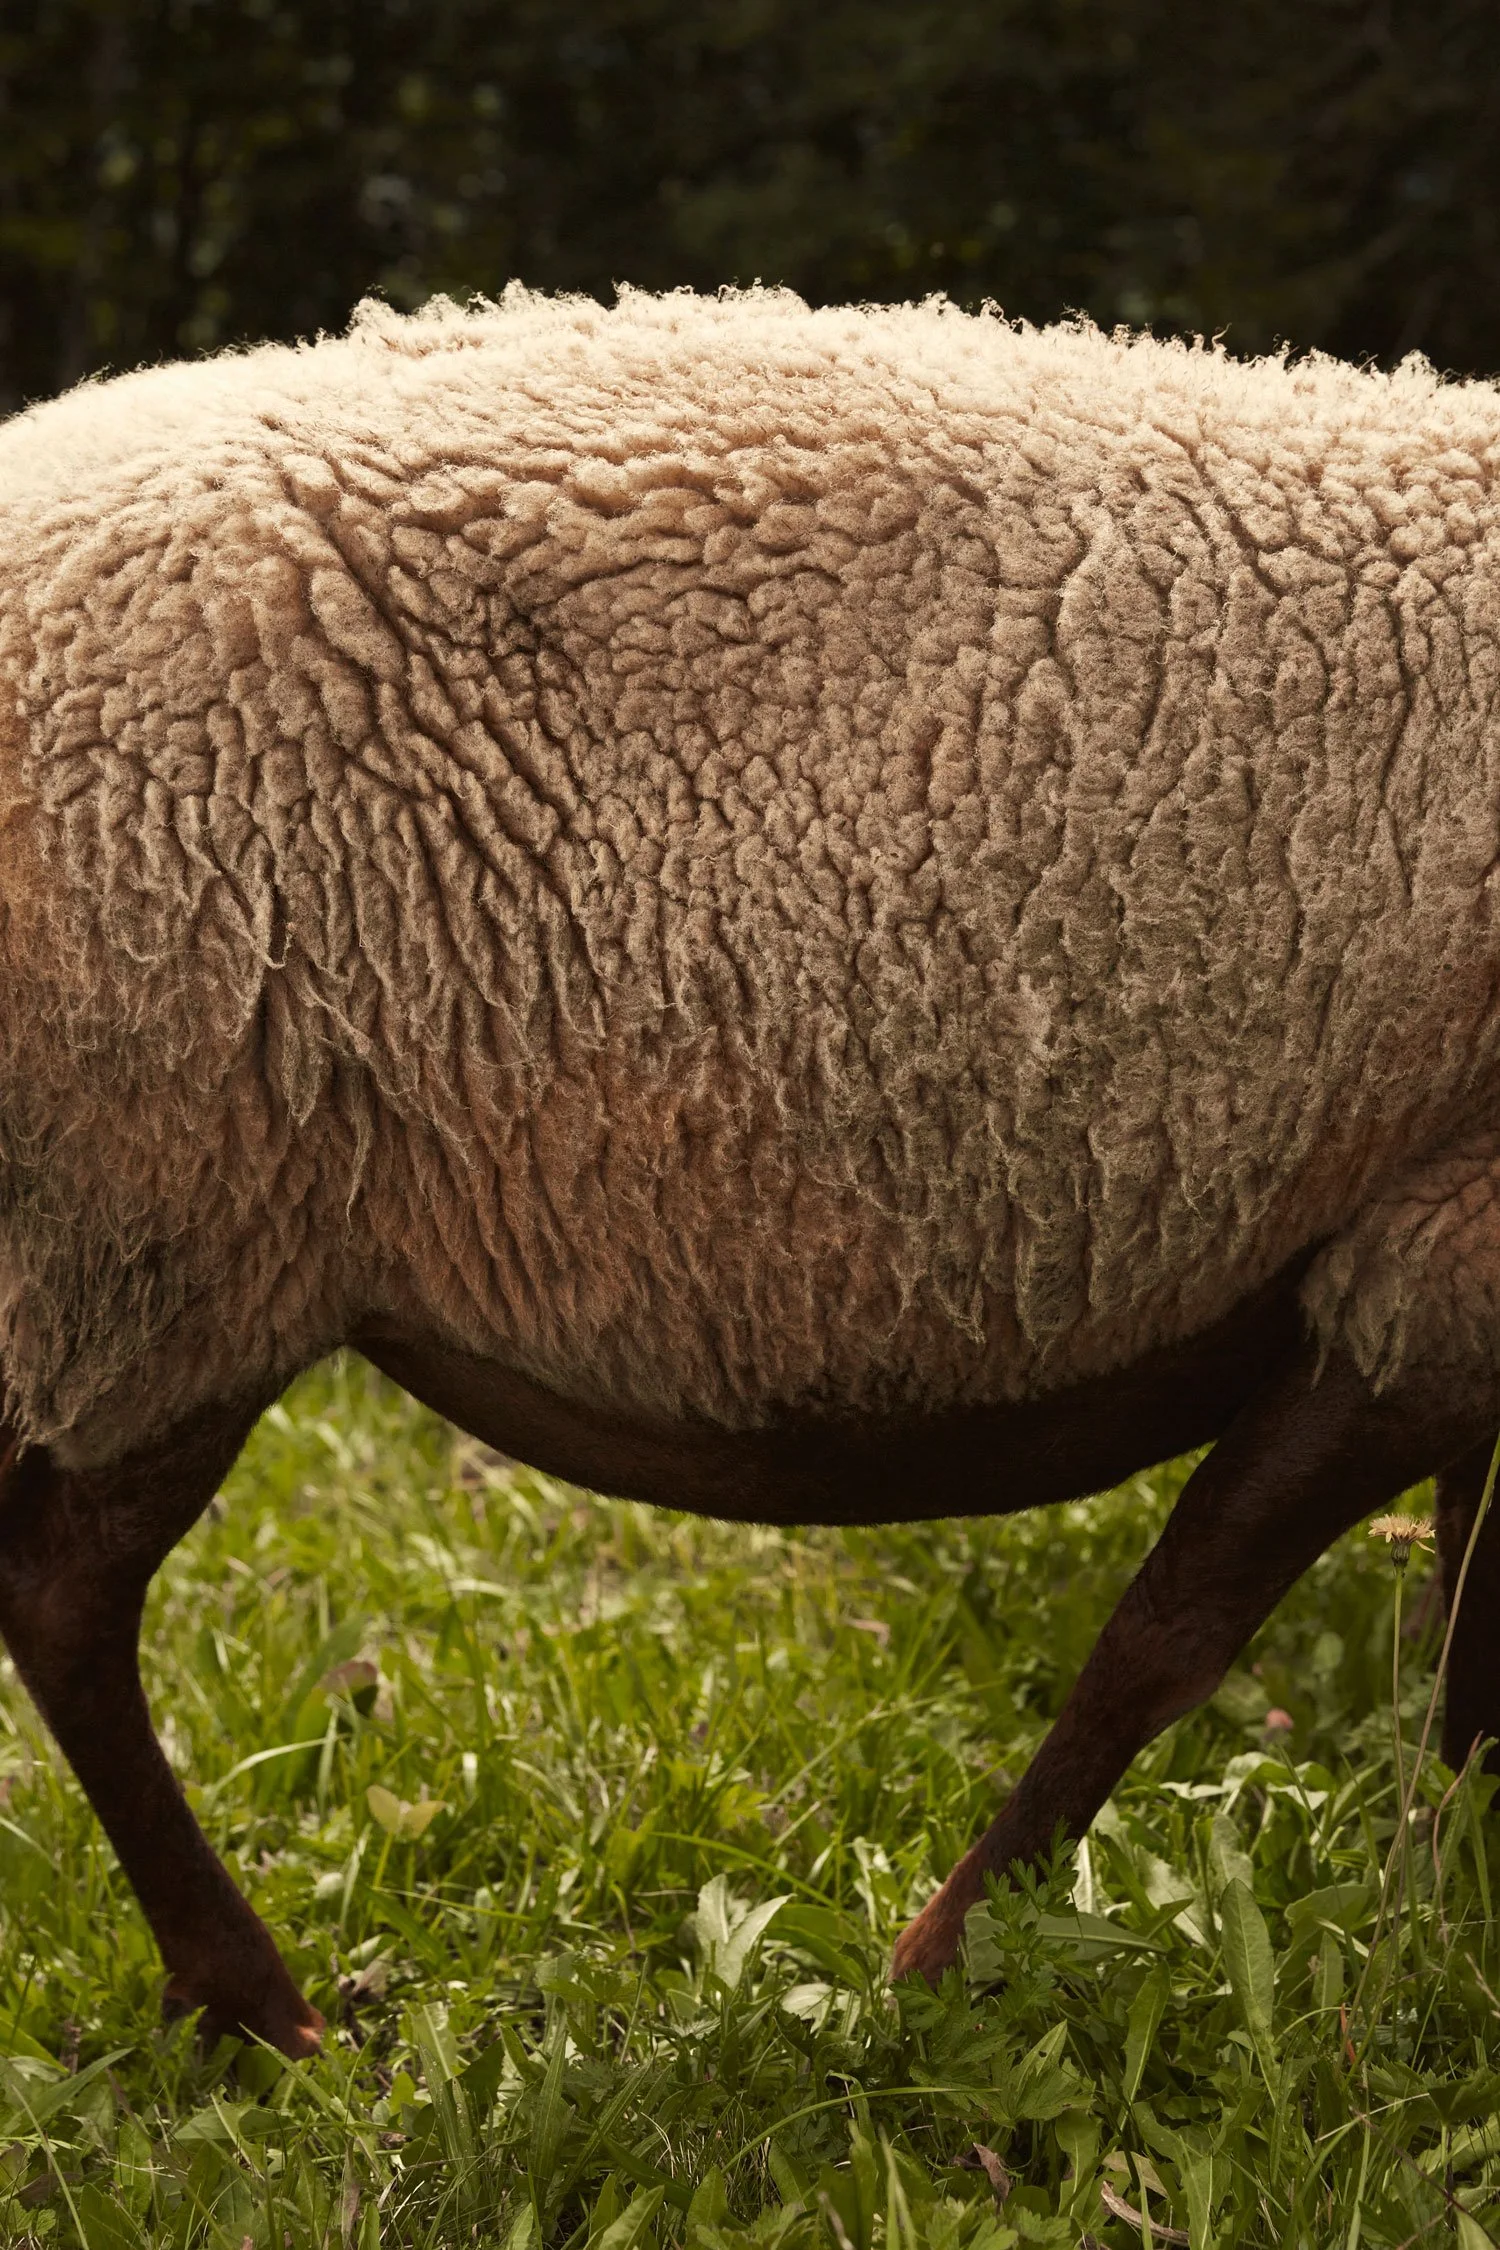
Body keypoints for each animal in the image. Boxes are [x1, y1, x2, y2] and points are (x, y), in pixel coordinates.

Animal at [2, 284, 1500, 2057]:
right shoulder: (1443, 1247)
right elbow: (1171, 1636)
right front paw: (939, 1969)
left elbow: (1461, 1640)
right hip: (154, 1231)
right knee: (64, 1601)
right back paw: (256, 2005)